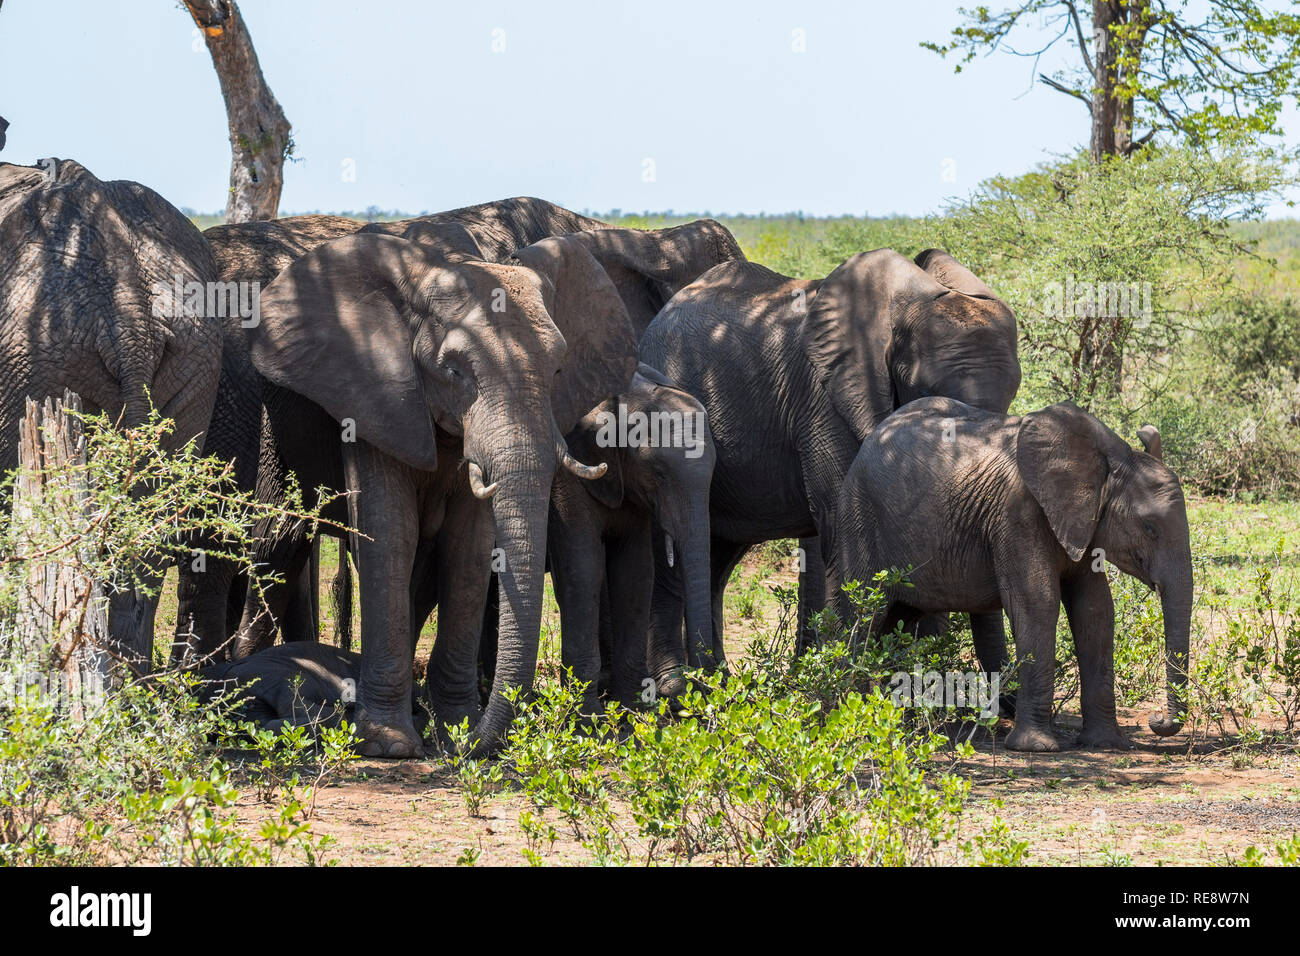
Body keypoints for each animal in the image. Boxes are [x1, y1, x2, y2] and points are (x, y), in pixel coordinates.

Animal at [240, 226, 638, 757]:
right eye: (453, 371)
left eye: (557, 371)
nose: (476, 745)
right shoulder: (377, 393)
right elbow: (390, 532)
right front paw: (389, 746)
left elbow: (468, 545)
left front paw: (454, 730)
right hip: (275, 430)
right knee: (278, 542)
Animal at [545, 363, 716, 709]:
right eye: (658, 473)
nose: (701, 687)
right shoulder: (568, 474)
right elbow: (582, 568)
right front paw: (587, 716)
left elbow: (635, 572)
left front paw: (630, 707)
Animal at [638, 248, 1021, 671]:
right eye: (926, 395)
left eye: (1011, 399)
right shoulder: (825, 402)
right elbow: (843, 524)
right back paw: (679, 686)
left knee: (717, 554)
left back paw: (713, 680)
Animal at [835, 397, 1192, 752]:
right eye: (1149, 527)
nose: (1156, 719)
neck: (1109, 458)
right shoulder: (1018, 514)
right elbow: (1039, 603)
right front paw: (1036, 748)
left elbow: (1095, 609)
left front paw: (1104, 743)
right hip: (859, 519)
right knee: (867, 617)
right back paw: (862, 719)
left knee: (897, 623)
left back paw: (896, 719)